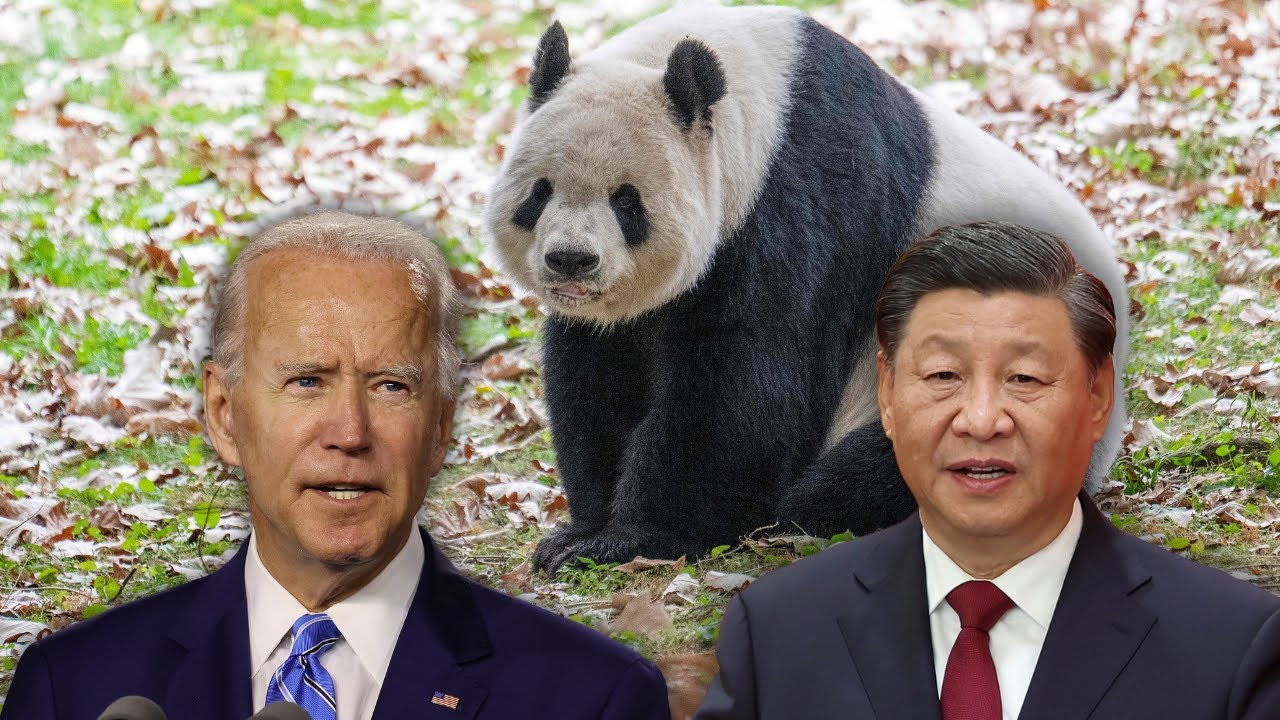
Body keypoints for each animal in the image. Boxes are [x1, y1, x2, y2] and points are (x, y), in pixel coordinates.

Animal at [485, 5, 1130, 571]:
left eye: (627, 201)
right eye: (540, 191)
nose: (571, 261)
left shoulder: (799, 208)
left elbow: (745, 386)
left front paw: (634, 537)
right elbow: (599, 375)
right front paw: (581, 530)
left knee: (875, 475)